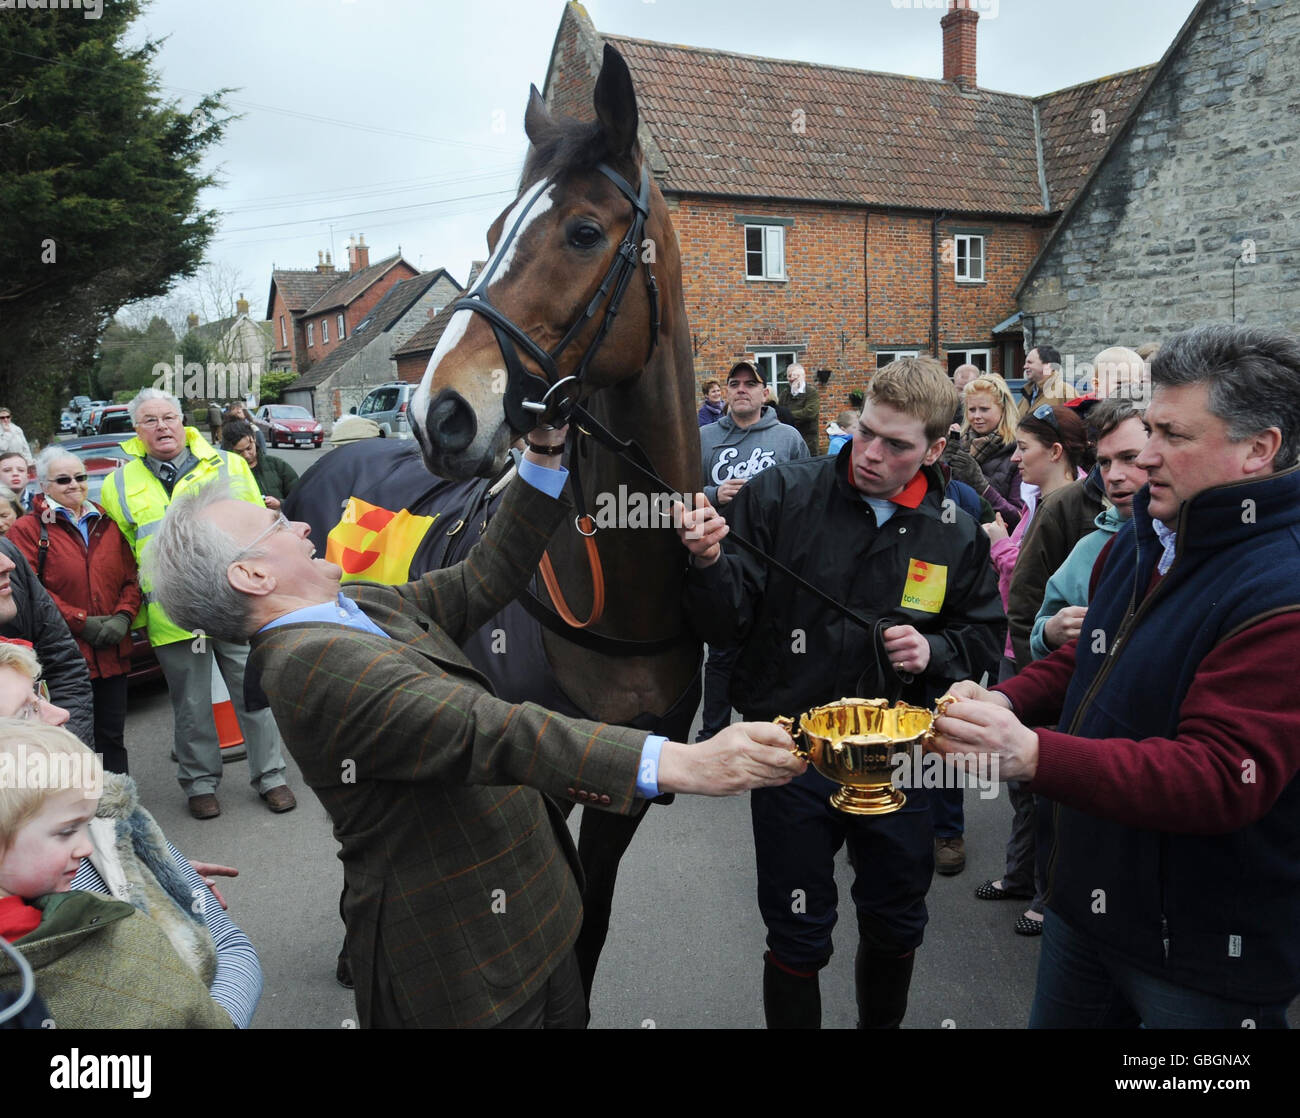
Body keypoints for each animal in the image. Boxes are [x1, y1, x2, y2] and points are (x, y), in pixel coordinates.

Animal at [288, 44, 703, 1001]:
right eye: (490, 232)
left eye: (583, 232)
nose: (436, 414)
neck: (623, 598)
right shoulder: (539, 768)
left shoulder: (626, 789)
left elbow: (589, 926)